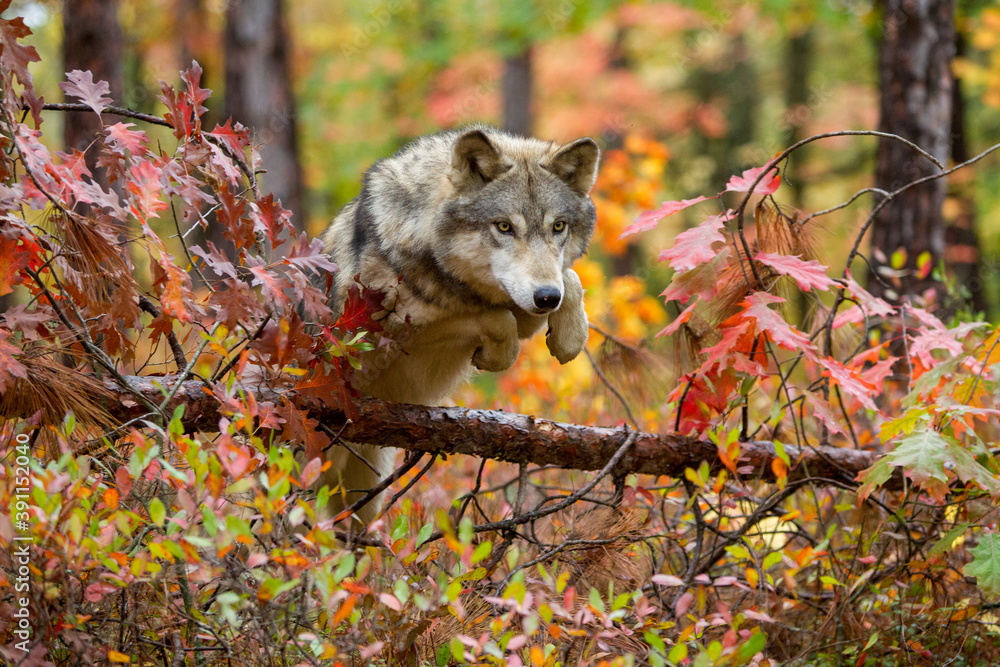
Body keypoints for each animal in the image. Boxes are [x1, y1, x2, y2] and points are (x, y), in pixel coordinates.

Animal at [320, 126, 600, 525]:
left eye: (558, 227)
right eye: (504, 227)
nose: (546, 298)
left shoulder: (530, 304)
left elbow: (570, 280)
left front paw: (570, 338)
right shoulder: (396, 333)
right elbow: (495, 319)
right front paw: (497, 355)